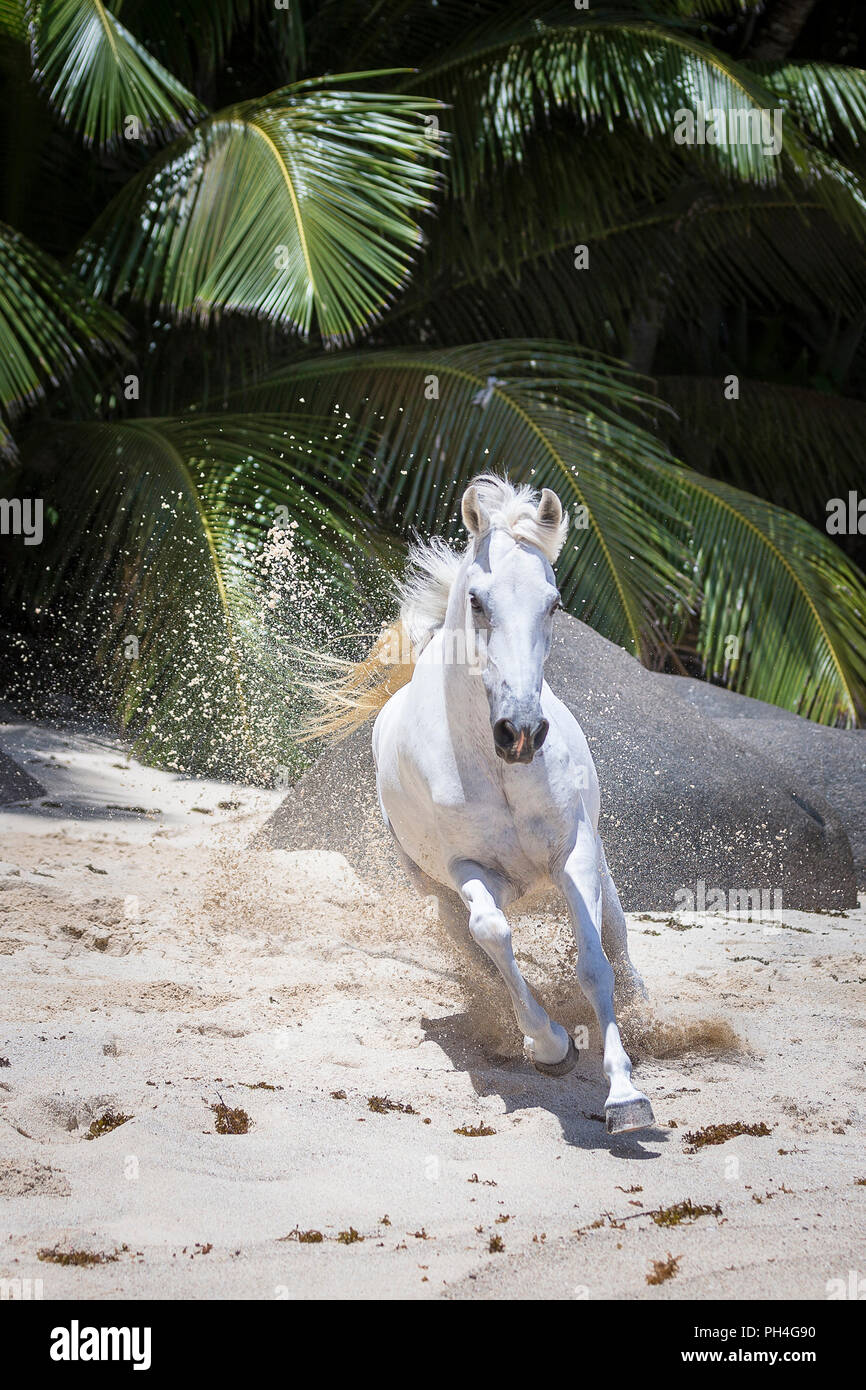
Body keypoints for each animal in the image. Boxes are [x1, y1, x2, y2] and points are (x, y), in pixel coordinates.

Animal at [310, 474, 654, 1134]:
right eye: (477, 600)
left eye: (554, 604)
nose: (520, 732)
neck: (500, 773)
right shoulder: (466, 870)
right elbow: (493, 935)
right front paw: (551, 1047)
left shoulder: (573, 854)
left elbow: (594, 961)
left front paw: (625, 1095)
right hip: (436, 891)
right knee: (478, 946)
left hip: (596, 868)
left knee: (620, 943)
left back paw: (645, 1010)